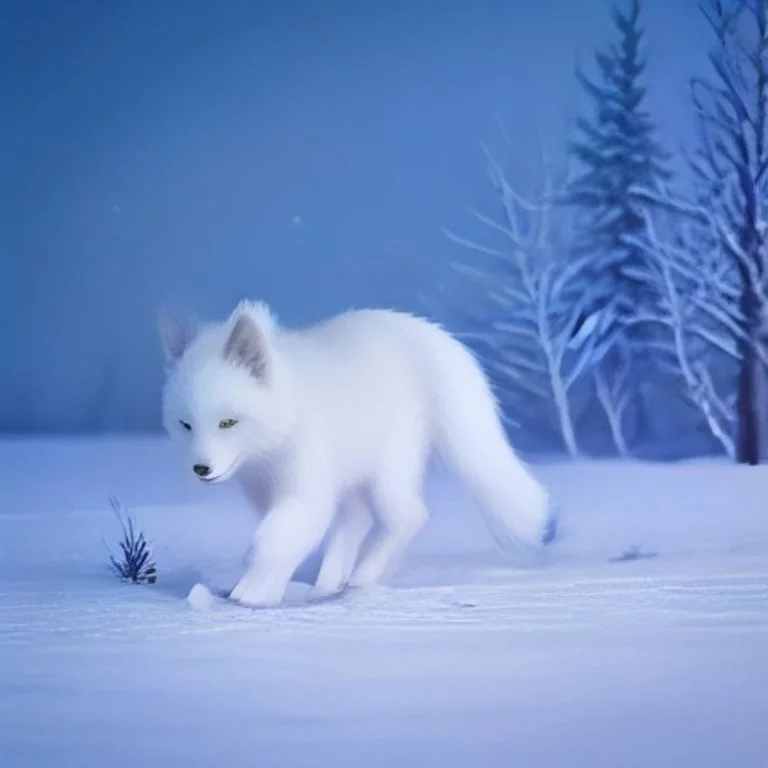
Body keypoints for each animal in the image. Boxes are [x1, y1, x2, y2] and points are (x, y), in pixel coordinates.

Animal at [159, 299, 557, 608]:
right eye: (186, 425)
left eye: (228, 422)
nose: (201, 468)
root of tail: (431, 334)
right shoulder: (275, 495)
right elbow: (283, 545)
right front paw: (264, 592)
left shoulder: (306, 494)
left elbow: (267, 544)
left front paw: (250, 596)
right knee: (360, 519)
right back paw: (329, 585)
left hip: (389, 469)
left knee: (409, 517)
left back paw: (361, 579)